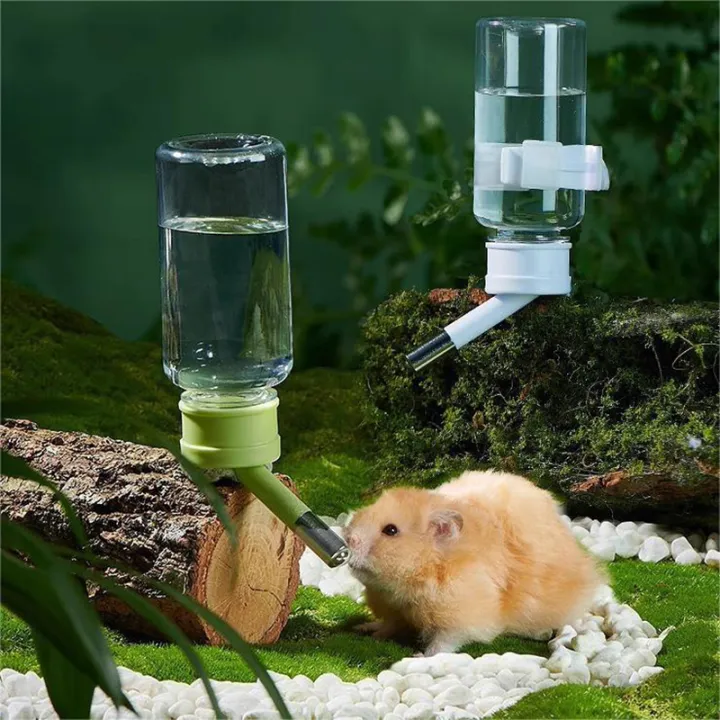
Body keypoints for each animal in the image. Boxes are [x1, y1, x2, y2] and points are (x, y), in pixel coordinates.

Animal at [343, 470, 605, 656]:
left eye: (391, 530)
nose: (348, 539)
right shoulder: (393, 608)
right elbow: (388, 624)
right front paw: (368, 631)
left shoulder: (461, 615)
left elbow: (444, 641)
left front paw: (420, 656)